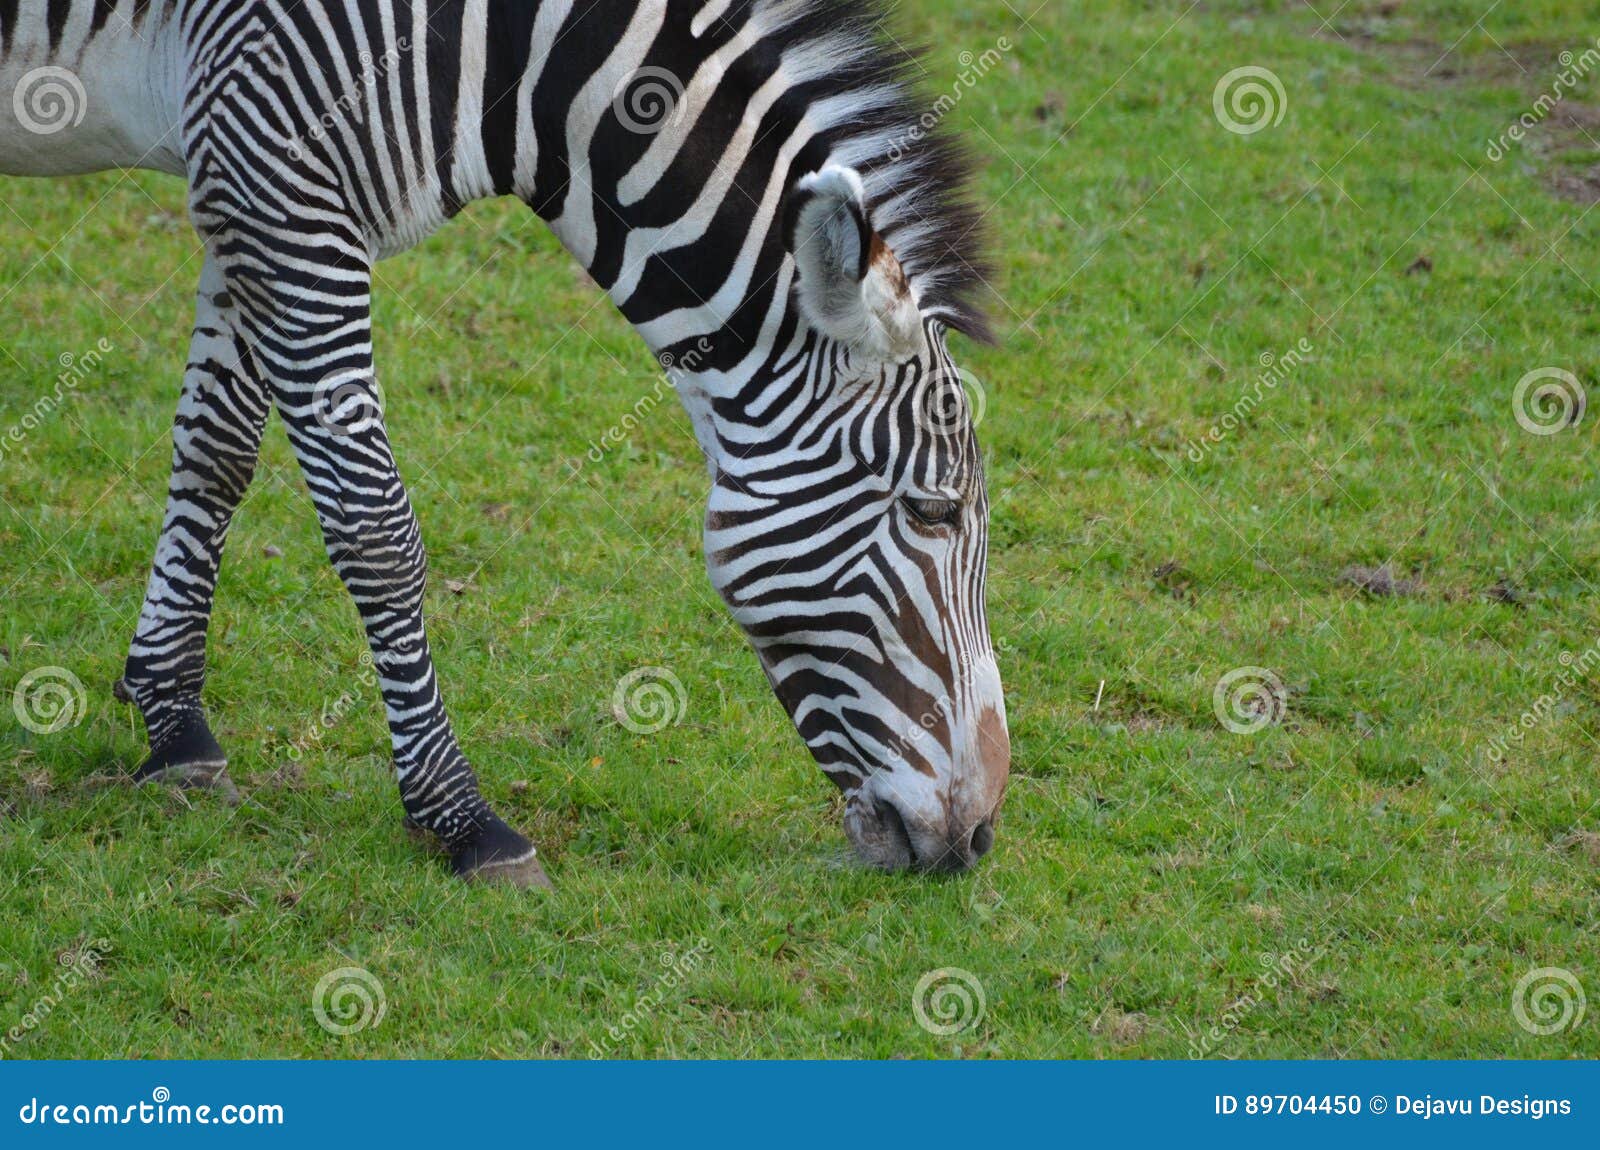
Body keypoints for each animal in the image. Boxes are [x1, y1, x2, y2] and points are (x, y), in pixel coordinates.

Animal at [0, 0, 1011, 885]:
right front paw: (461, 817)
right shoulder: (280, 182)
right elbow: (375, 529)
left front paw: (172, 721)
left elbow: (215, 451)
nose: (981, 838)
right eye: (934, 511)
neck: (513, 53)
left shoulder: (244, 185)